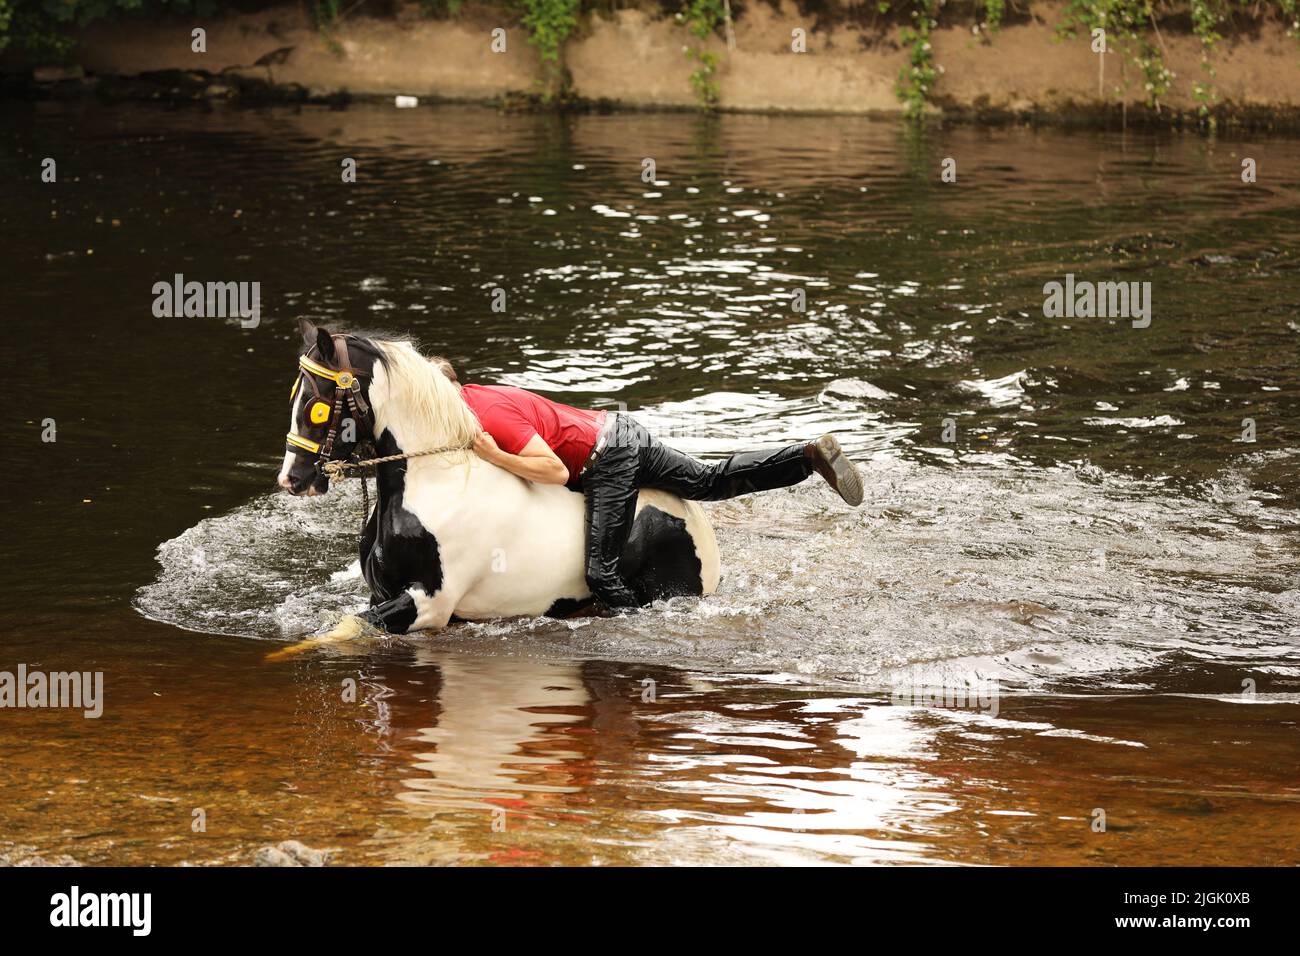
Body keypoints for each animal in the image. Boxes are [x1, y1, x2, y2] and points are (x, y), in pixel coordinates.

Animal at [270, 321, 720, 655]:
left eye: (316, 404)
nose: (293, 478)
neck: (437, 483)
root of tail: (694, 517)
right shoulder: (385, 595)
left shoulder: (429, 604)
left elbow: (343, 628)